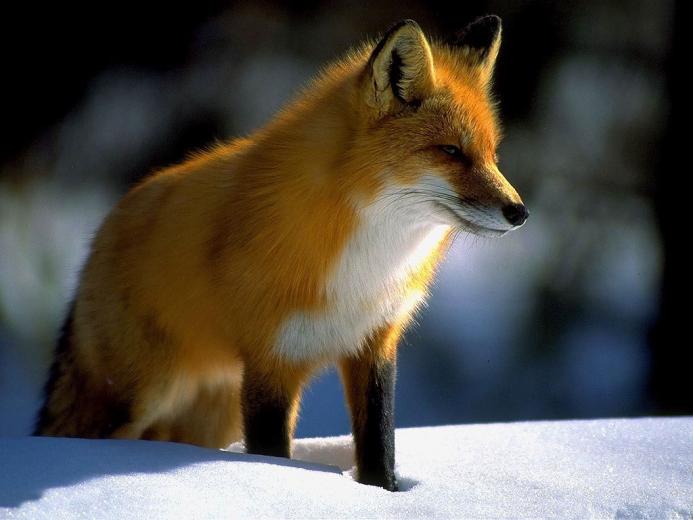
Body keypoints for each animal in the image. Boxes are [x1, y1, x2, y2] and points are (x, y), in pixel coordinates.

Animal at [34, 16, 527, 491]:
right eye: (451, 151)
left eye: (492, 154)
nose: (519, 213)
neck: (368, 261)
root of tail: (101, 231)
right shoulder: (272, 361)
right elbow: (272, 457)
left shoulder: (375, 344)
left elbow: (378, 448)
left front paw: (384, 495)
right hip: (138, 396)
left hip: (213, 413)